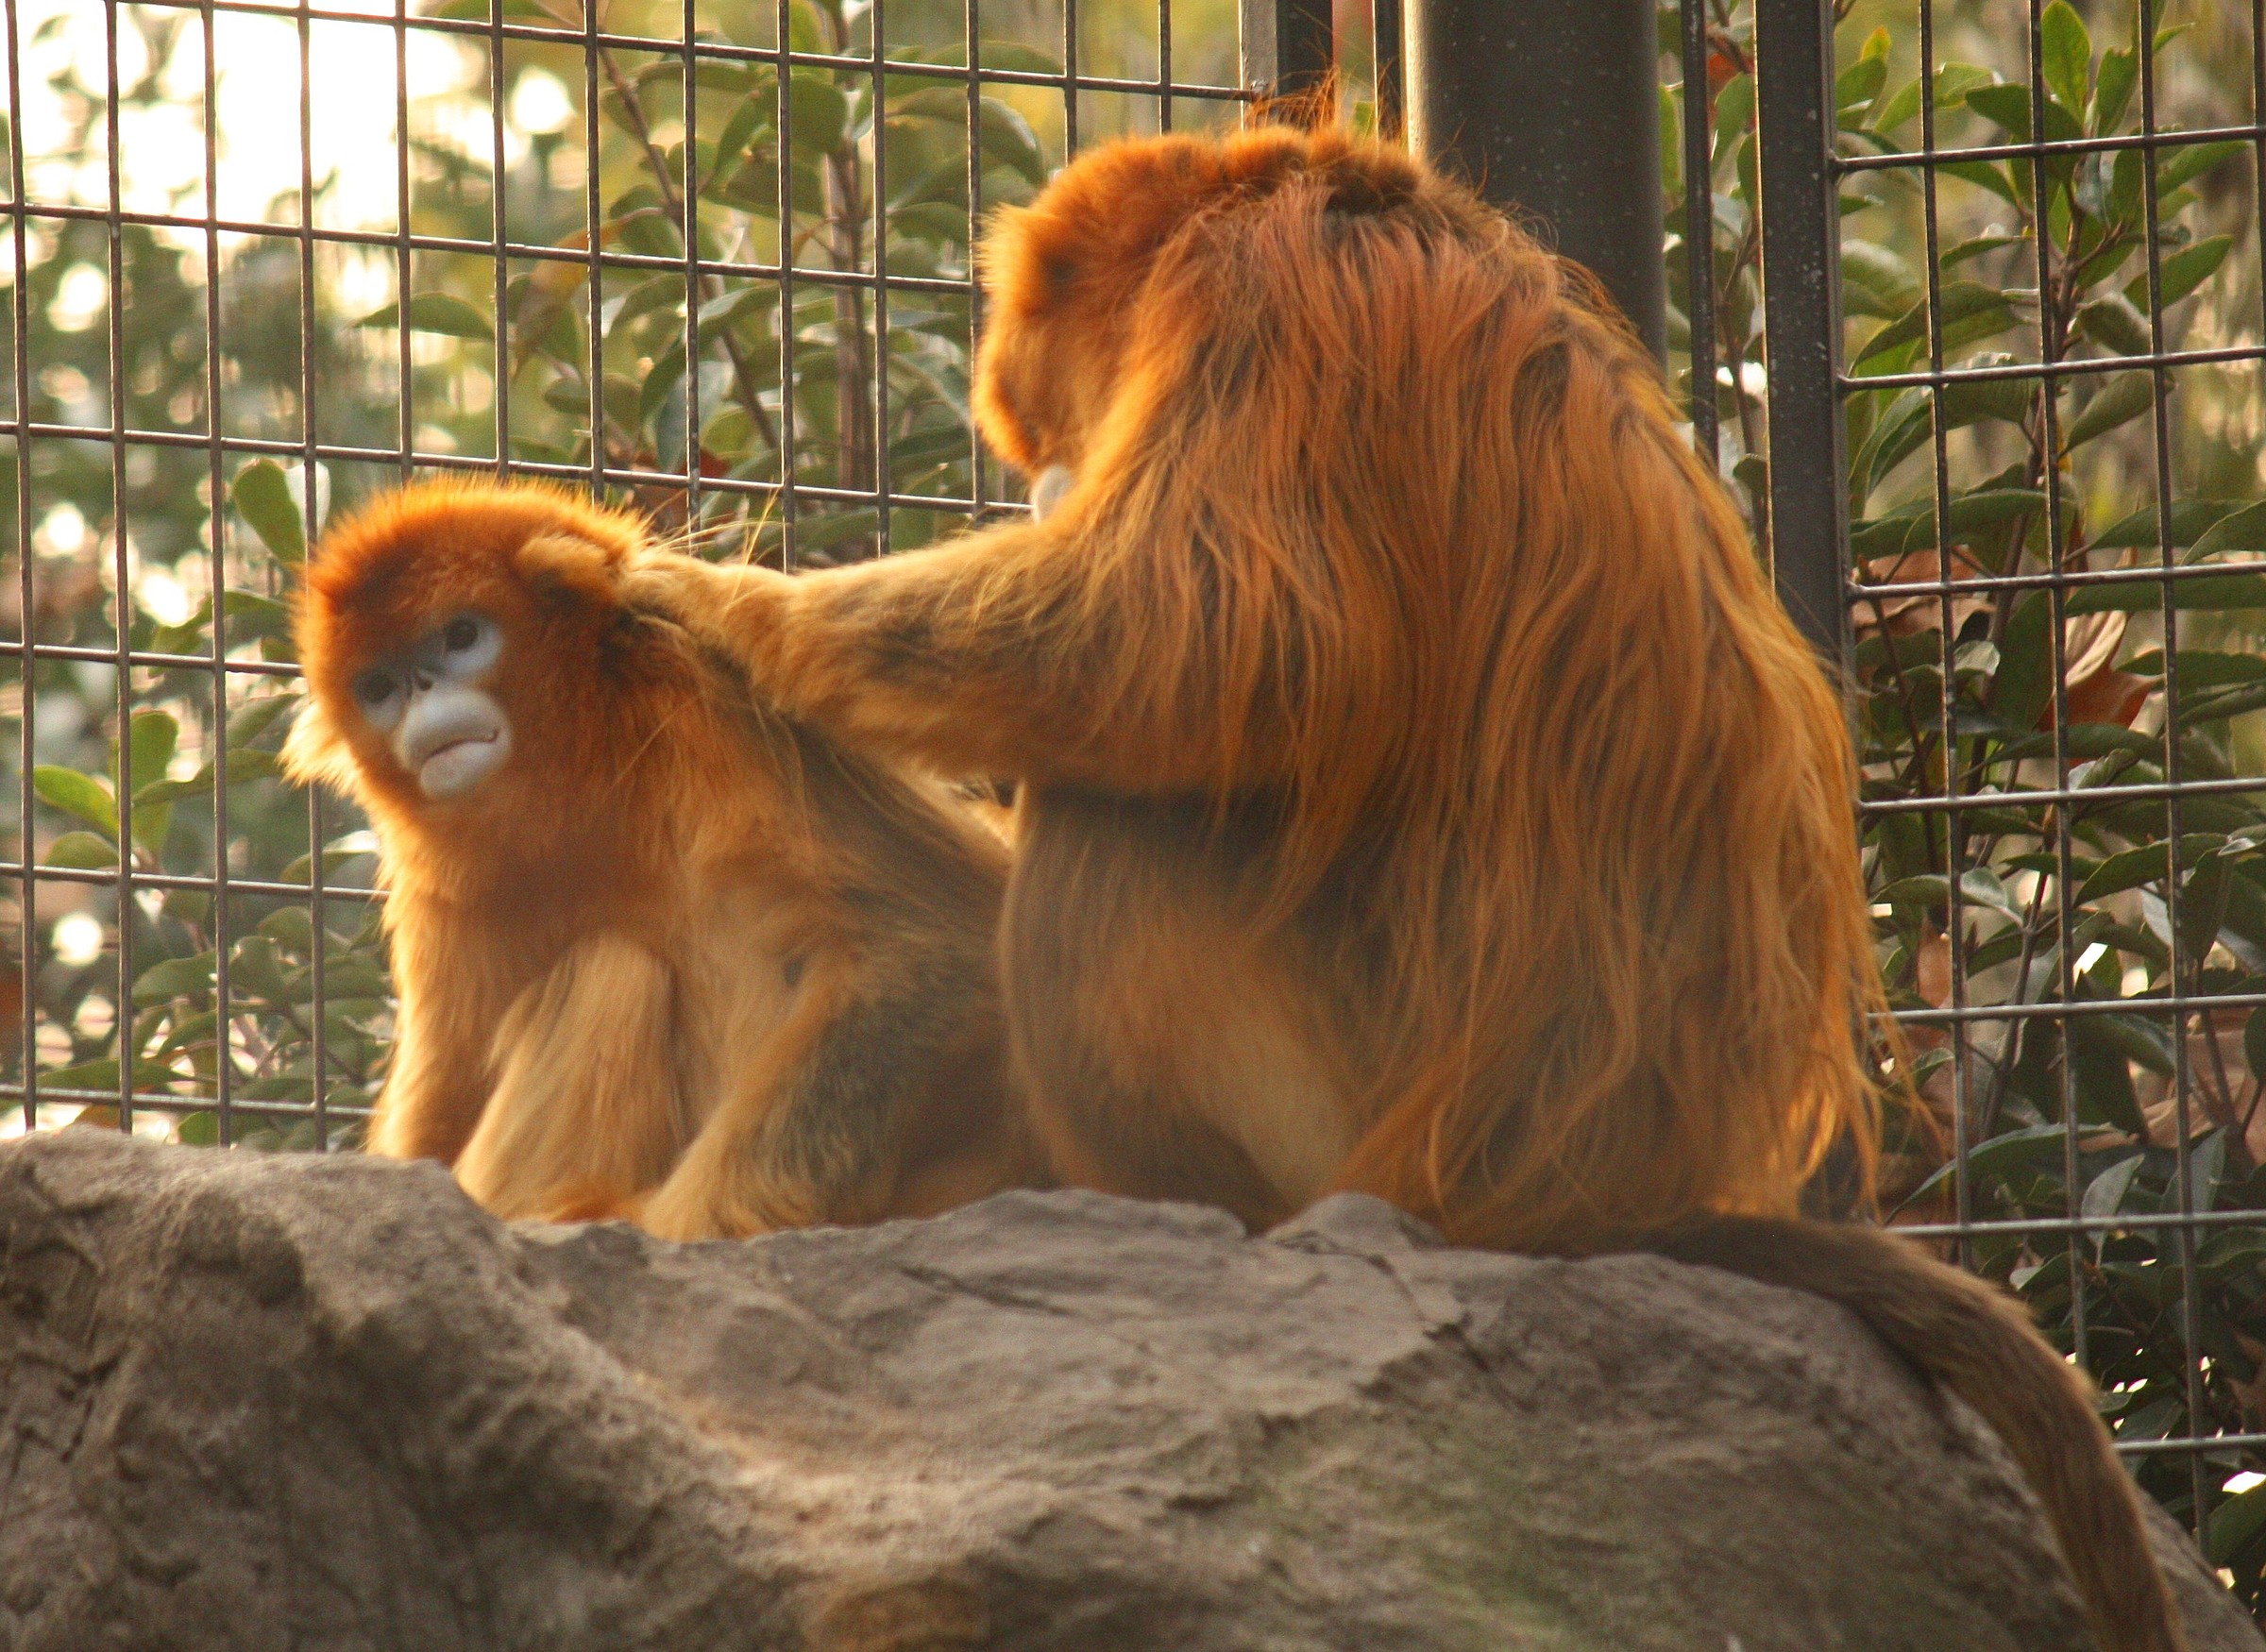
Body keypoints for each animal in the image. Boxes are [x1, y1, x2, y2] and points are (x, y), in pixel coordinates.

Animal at [281, 478, 1032, 1241]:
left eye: (461, 636)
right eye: (378, 687)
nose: (417, 688)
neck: (587, 772)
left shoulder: (696, 695)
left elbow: (935, 950)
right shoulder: (442, 885)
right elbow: (432, 1140)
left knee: (610, 967)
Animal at [619, 129, 2186, 1649]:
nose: (1042, 483)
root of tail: (1586, 1195)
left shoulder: (1255, 304)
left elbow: (1202, 637)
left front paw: (726, 615)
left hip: (1347, 1110)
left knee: (1130, 814)